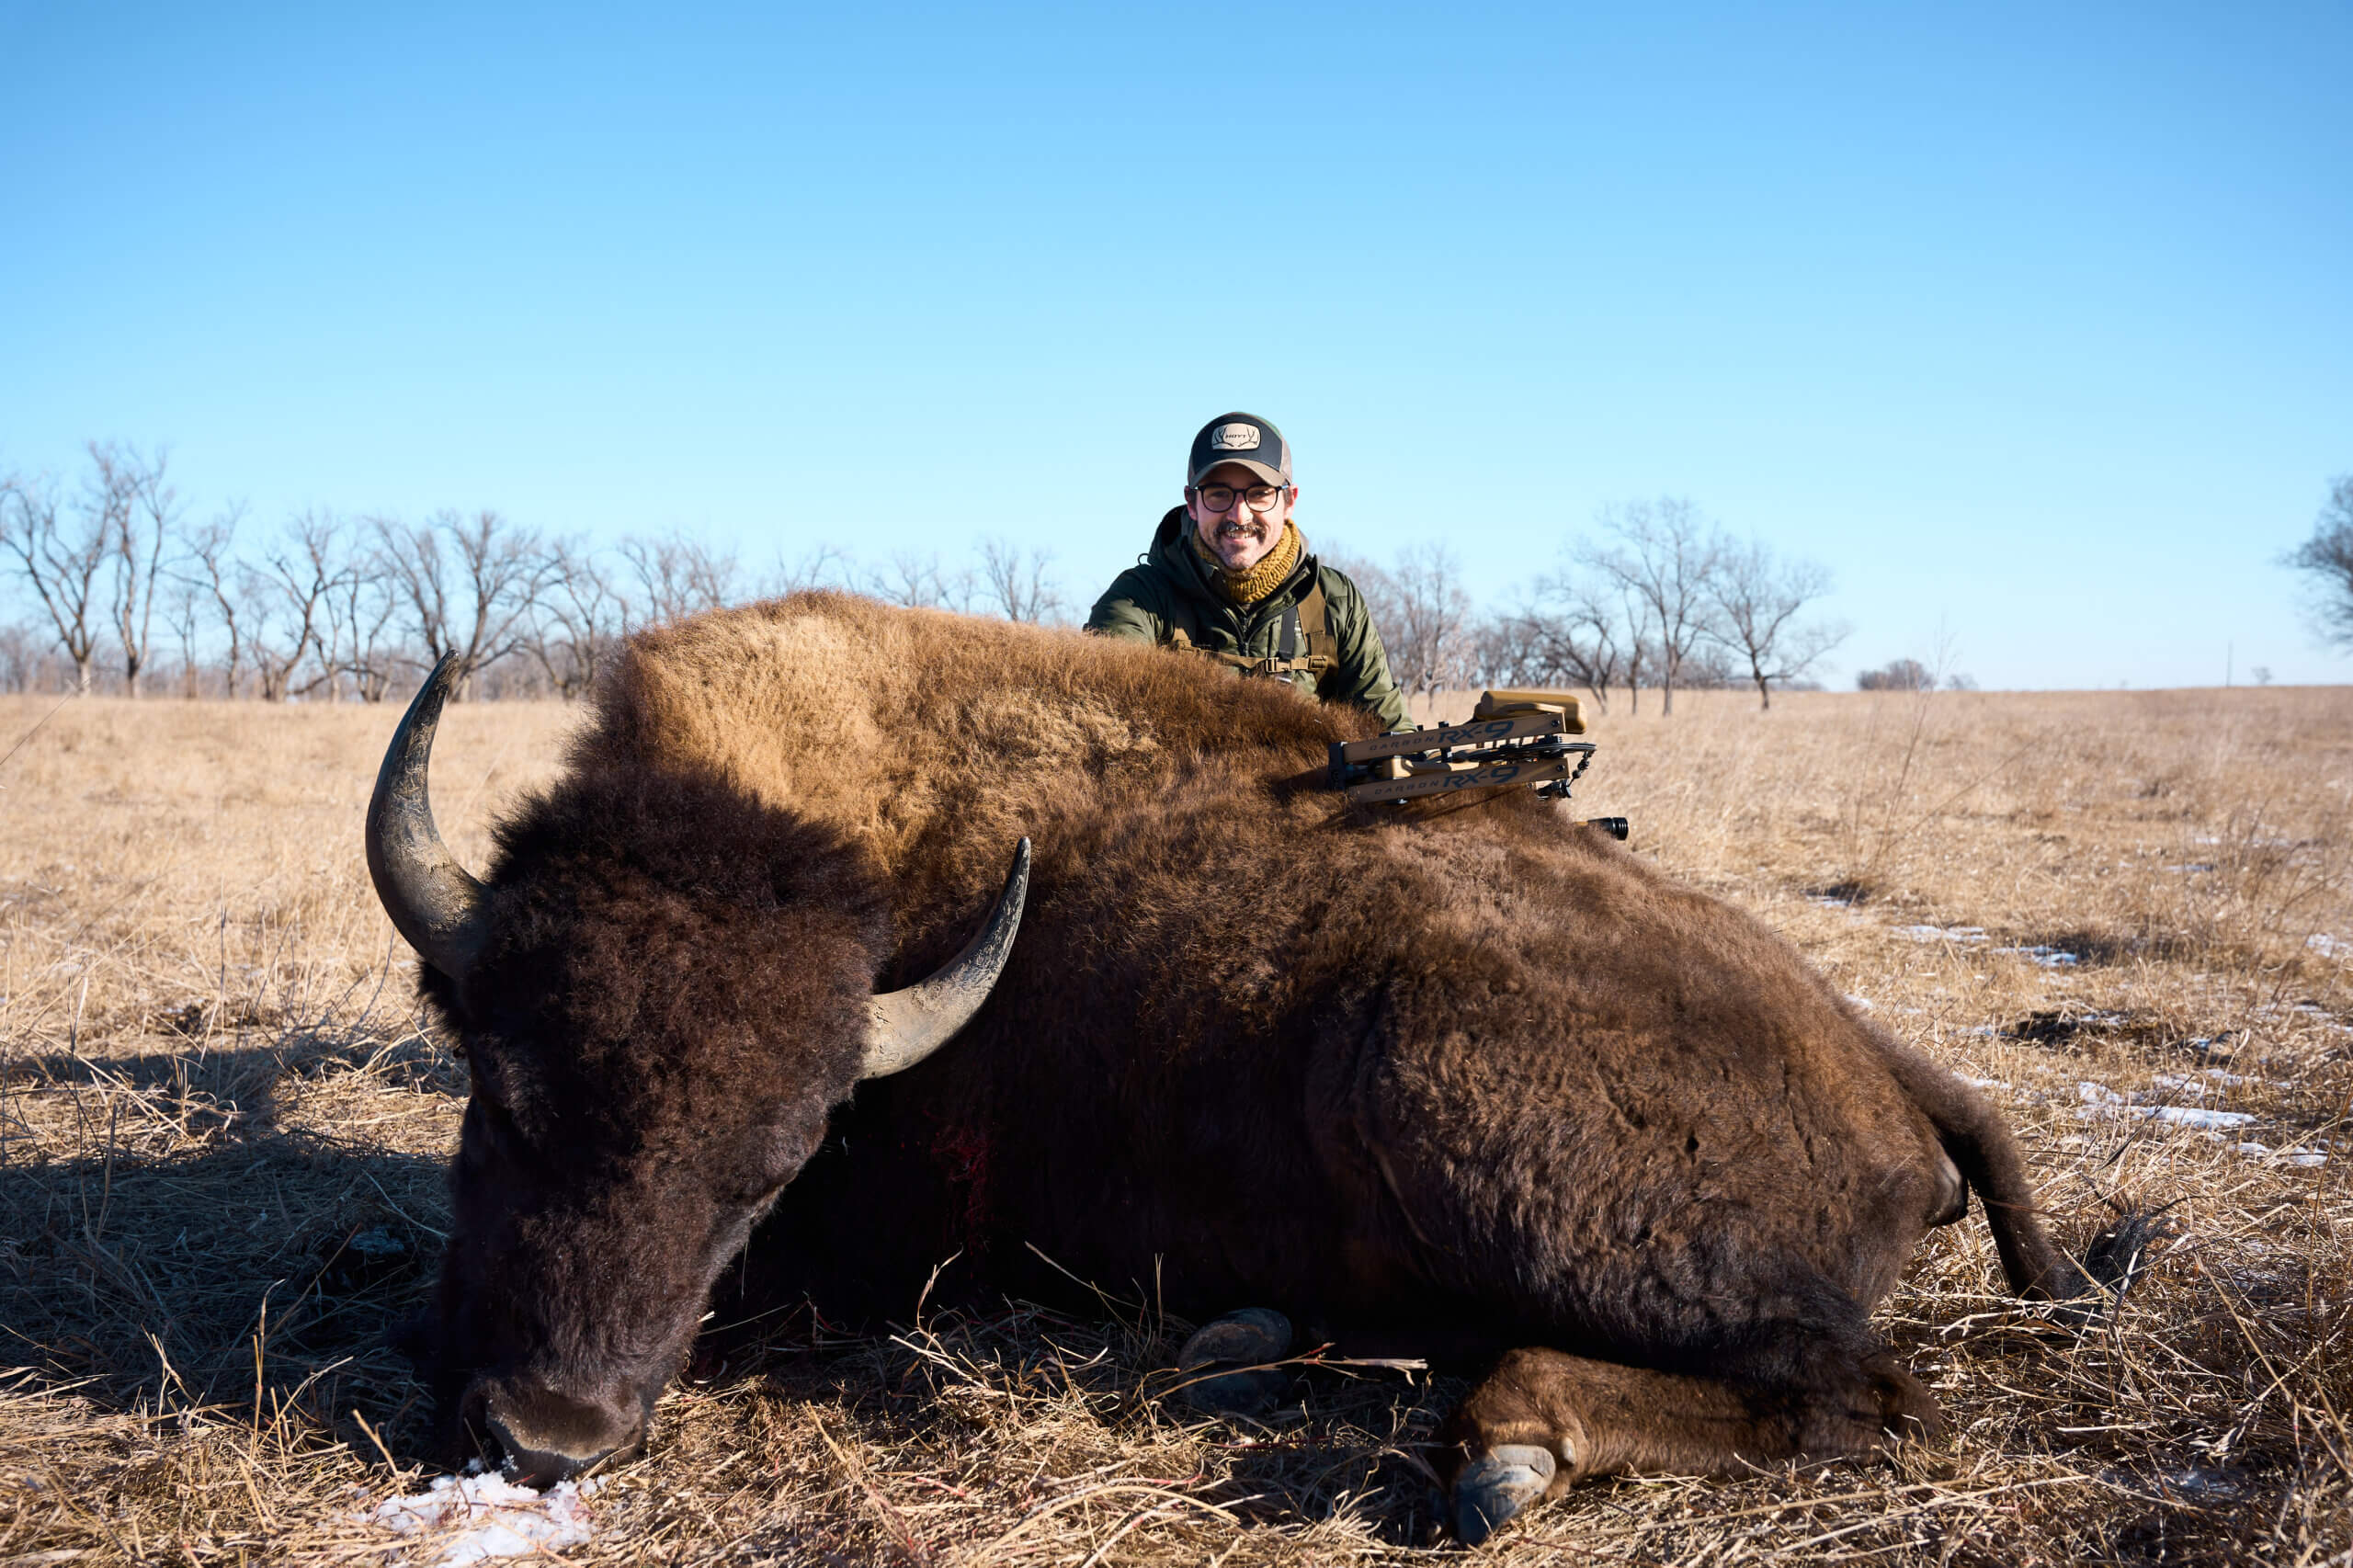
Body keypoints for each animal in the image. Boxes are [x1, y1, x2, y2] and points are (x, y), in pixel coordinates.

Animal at [371, 592, 2148, 1544]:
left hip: (1423, 1075)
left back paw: (1506, 1446)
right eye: (501, 1097)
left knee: (1853, 1388)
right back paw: (1251, 1341)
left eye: (773, 1167)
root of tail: (1890, 1083)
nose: (548, 1437)